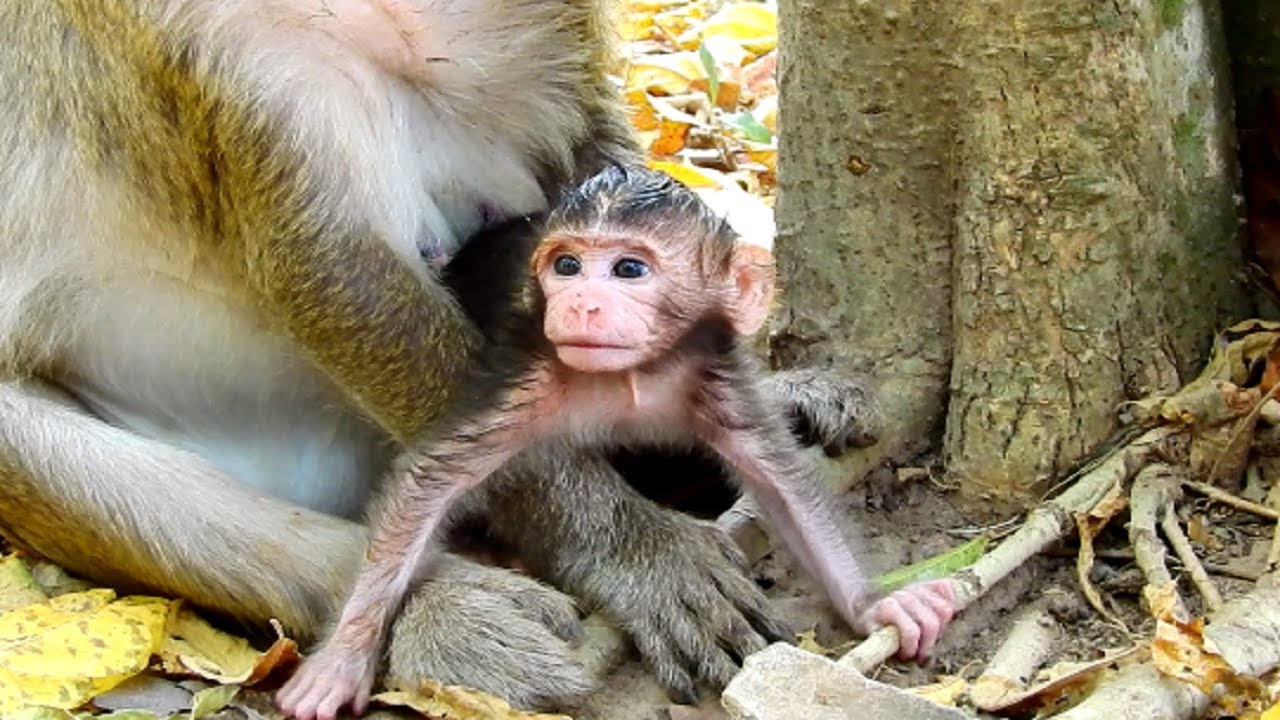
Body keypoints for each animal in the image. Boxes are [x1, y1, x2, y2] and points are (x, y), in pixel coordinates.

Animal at [277, 165, 957, 720]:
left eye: (629, 269)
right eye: (567, 266)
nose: (579, 303)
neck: (631, 378)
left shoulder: (712, 377)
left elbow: (783, 488)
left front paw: (876, 608)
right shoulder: (533, 381)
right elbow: (435, 479)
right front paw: (341, 660)